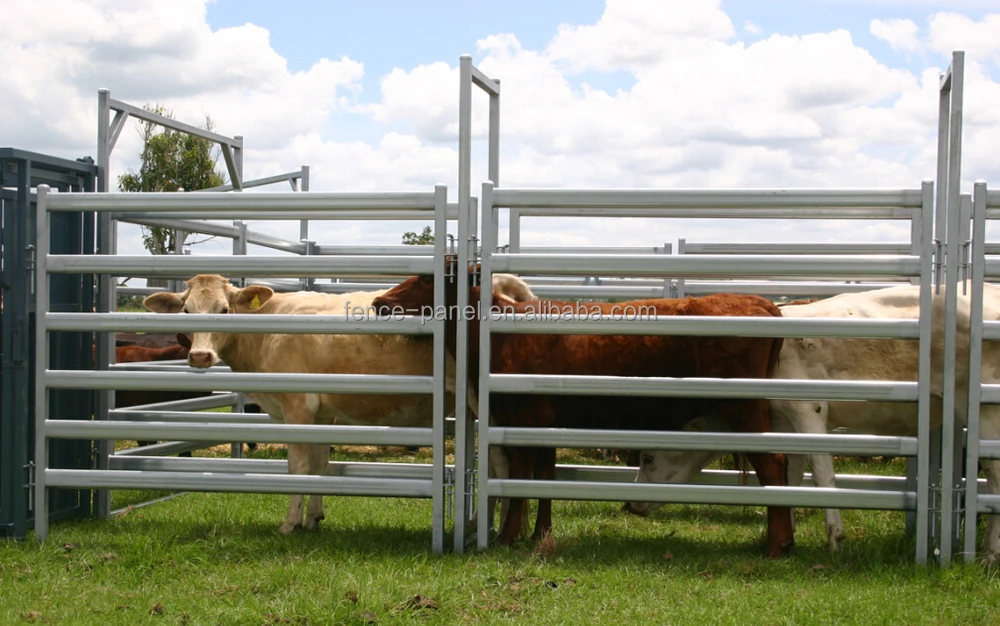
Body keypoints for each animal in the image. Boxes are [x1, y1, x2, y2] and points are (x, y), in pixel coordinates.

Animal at [143, 273, 535, 536]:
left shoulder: (297, 406)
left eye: (224, 310)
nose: (199, 356)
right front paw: (313, 518)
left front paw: (289, 523)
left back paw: (493, 527)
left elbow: (298, 467)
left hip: (483, 400)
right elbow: (321, 462)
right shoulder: (322, 412)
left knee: (500, 461)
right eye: (186, 310)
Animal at [371, 262, 794, 558]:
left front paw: (508, 537)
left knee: (773, 462)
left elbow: (522, 479)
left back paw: (776, 545)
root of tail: (759, 302)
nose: (379, 303)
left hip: (744, 408)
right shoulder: (543, 425)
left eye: (427, 278)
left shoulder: (522, 420)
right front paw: (540, 534)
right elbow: (543, 478)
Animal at [625, 284, 1000, 564]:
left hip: (985, 414)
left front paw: (834, 539)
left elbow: (822, 475)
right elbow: (789, 475)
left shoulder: (809, 410)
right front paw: (784, 533)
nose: (629, 504)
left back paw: (989, 554)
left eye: (647, 457)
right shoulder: (783, 424)